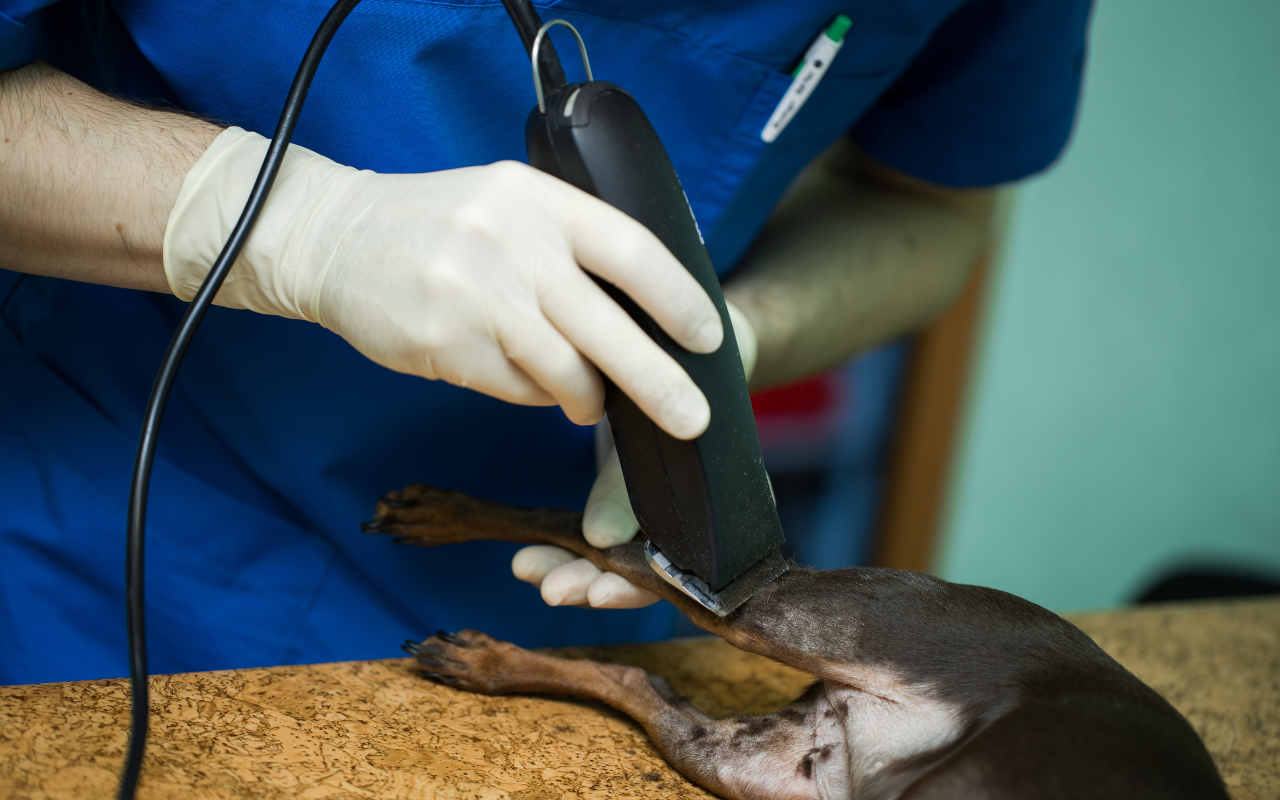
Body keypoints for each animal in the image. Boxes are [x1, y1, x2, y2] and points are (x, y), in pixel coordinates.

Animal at [363, 481, 1228, 798]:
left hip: (748, 761)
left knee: (638, 680)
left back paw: (483, 660)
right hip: (779, 609)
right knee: (599, 537)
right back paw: (443, 513)